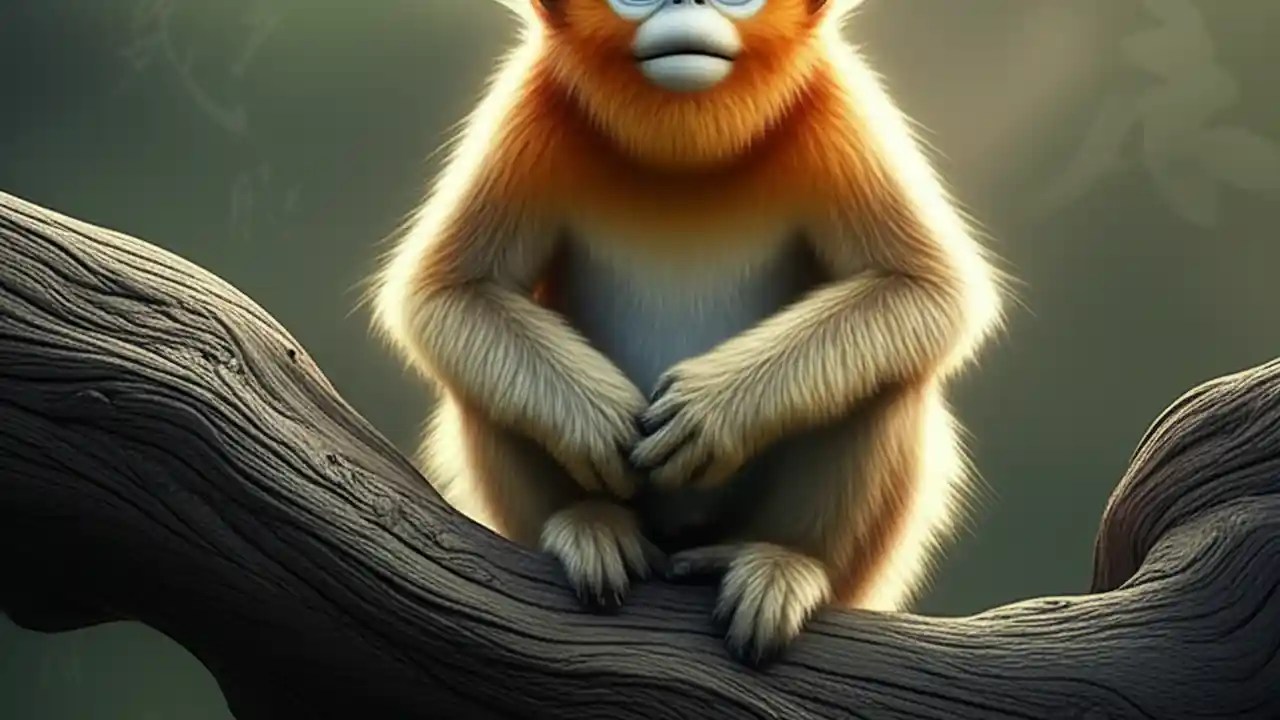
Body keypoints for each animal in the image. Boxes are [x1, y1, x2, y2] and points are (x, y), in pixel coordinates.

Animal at [370, 0, 1005, 666]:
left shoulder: (836, 106)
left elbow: (927, 290)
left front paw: (711, 412)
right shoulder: (532, 107)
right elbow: (447, 295)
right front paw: (595, 419)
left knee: (887, 382)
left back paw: (783, 562)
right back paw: (589, 524)